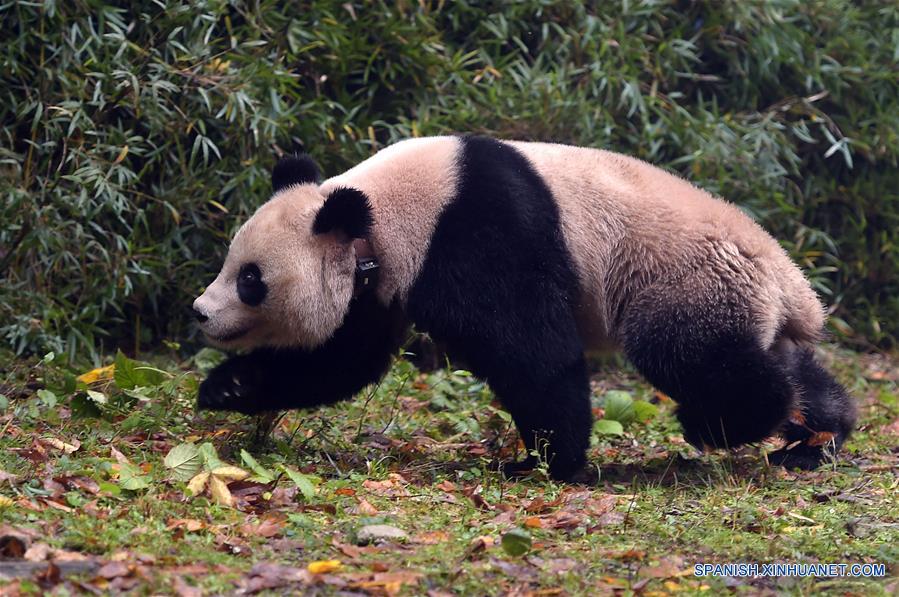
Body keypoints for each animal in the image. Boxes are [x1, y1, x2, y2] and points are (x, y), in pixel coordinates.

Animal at [192, 135, 856, 481]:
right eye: (231, 262)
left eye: (250, 280)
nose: (200, 311)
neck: (379, 211)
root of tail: (793, 286)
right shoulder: (378, 281)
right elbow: (344, 361)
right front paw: (228, 388)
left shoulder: (473, 232)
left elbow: (531, 351)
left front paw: (547, 462)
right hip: (738, 300)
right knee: (780, 360)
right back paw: (818, 436)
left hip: (682, 281)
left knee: (694, 357)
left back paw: (722, 426)